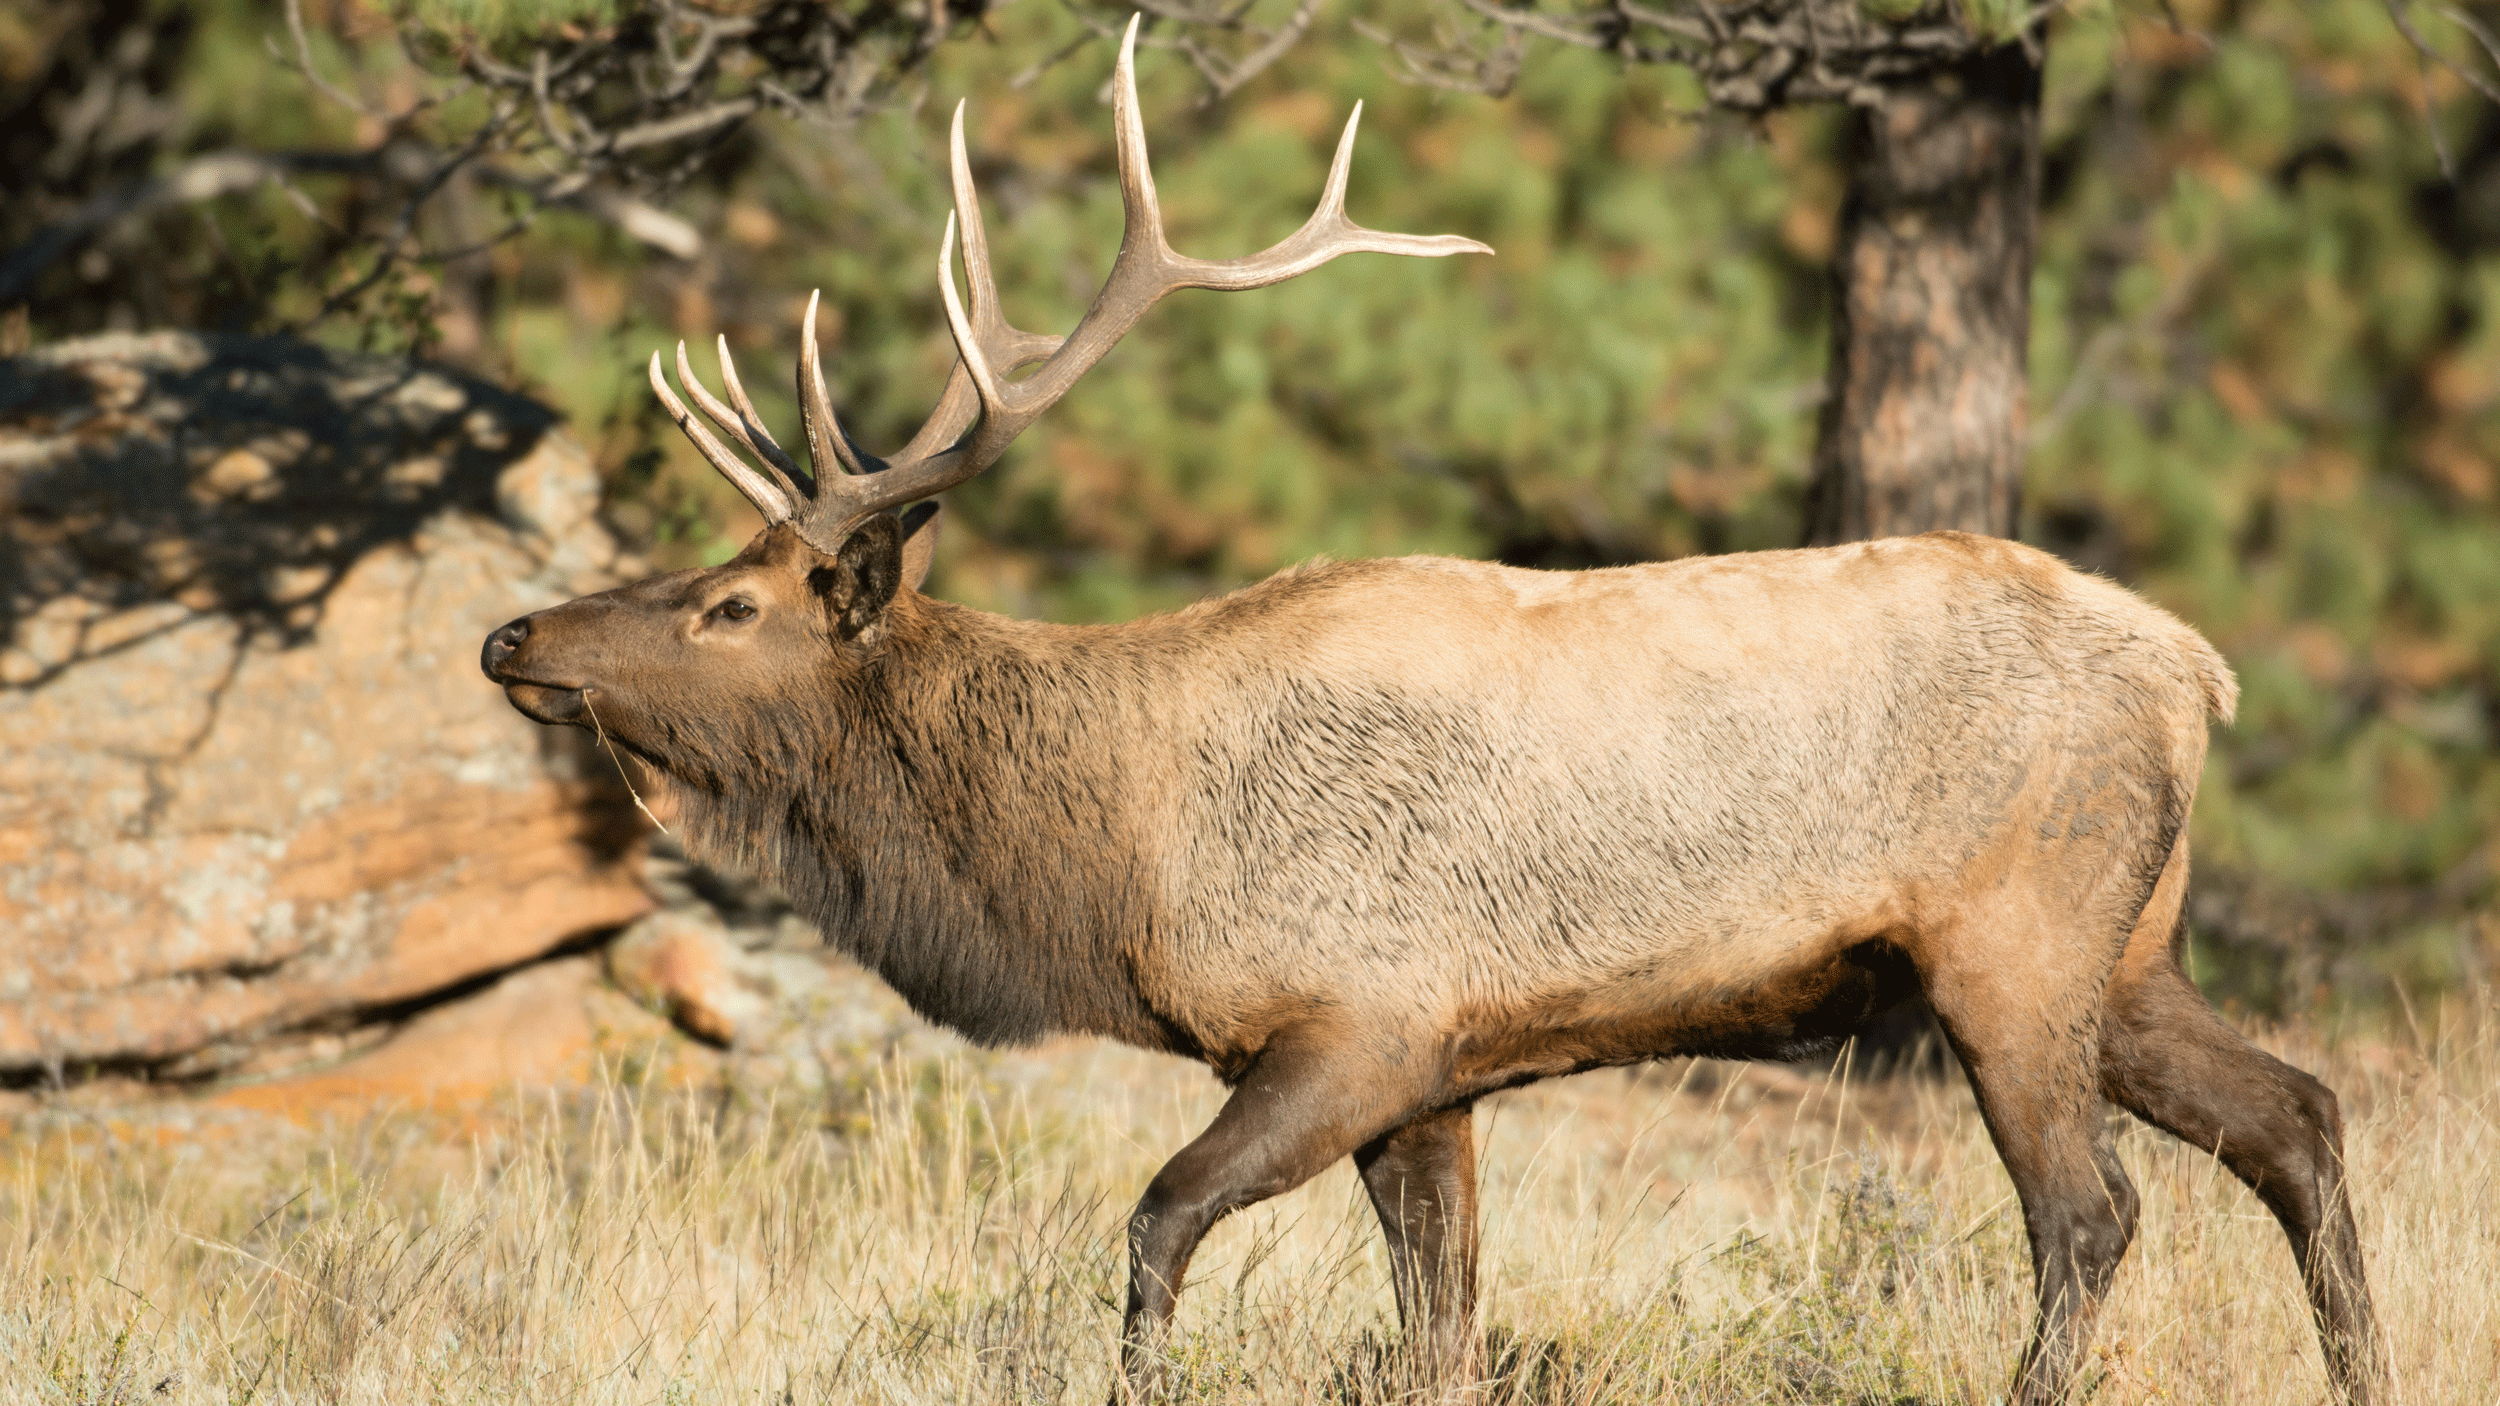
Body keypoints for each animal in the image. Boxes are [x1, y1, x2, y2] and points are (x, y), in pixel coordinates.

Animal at [480, 20, 2383, 1404]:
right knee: (2298, 1114)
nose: (513, 635)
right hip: (2130, 951)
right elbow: (1441, 1326)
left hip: (2015, 938)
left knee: (2090, 1210)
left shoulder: (1359, 1023)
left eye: (729, 605)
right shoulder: (1445, 1076)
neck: (1116, 860)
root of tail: (2197, 669)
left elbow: (1158, 1223)